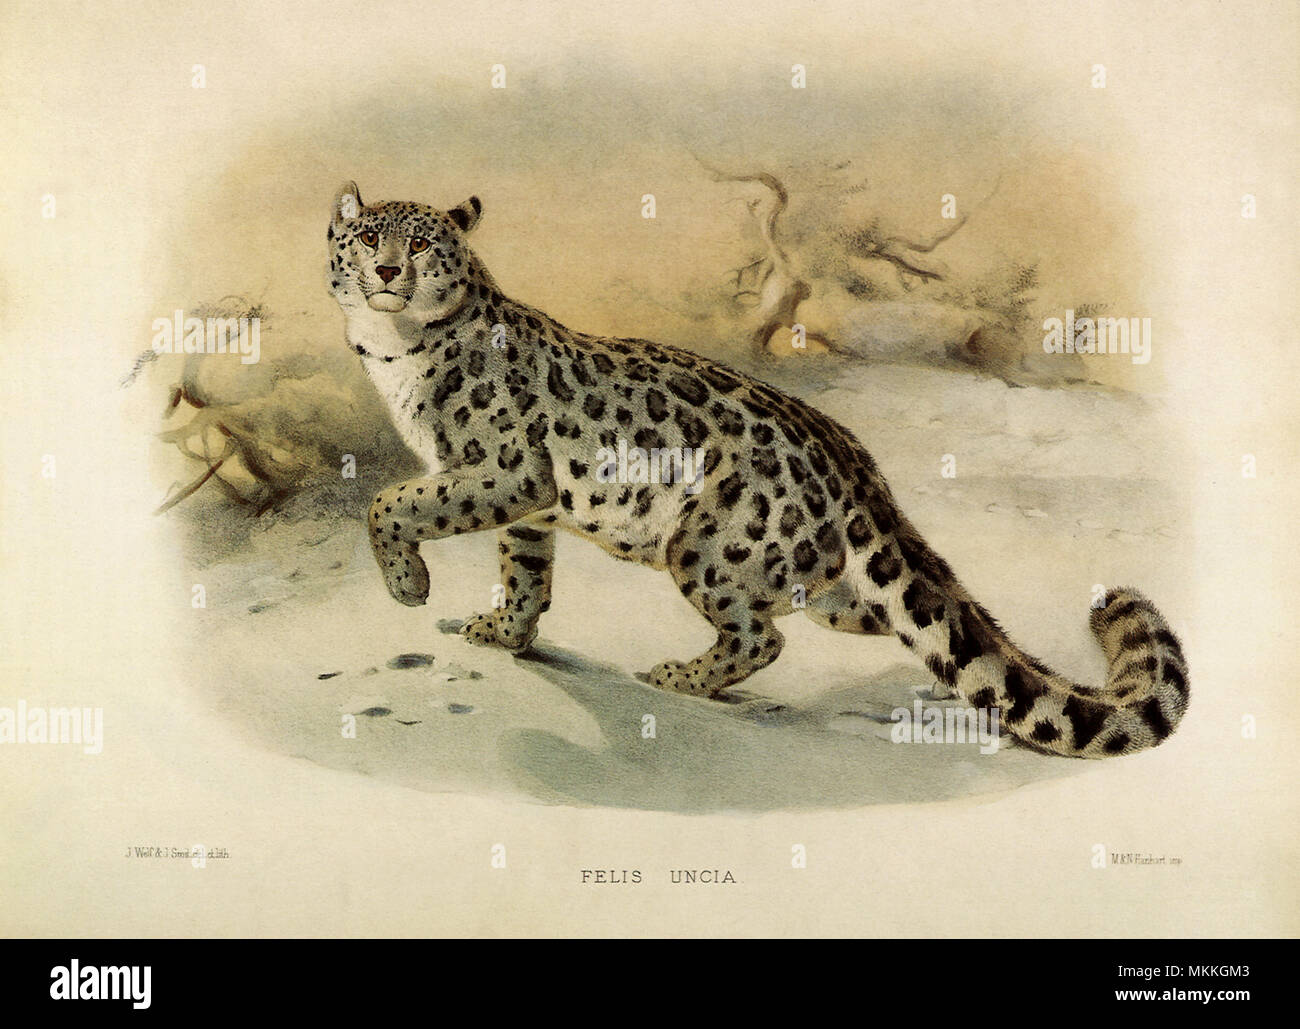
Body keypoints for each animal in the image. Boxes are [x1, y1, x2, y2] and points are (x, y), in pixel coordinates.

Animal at [326, 182, 1189, 758]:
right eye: (367, 237)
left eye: (422, 243)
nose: (390, 271)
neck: (391, 350)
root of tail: (853, 462)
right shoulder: (530, 503)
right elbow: (526, 570)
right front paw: (503, 630)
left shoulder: (503, 469)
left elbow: (393, 502)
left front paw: (410, 586)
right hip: (831, 591)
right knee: (894, 618)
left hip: (705, 549)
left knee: (760, 636)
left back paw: (676, 674)